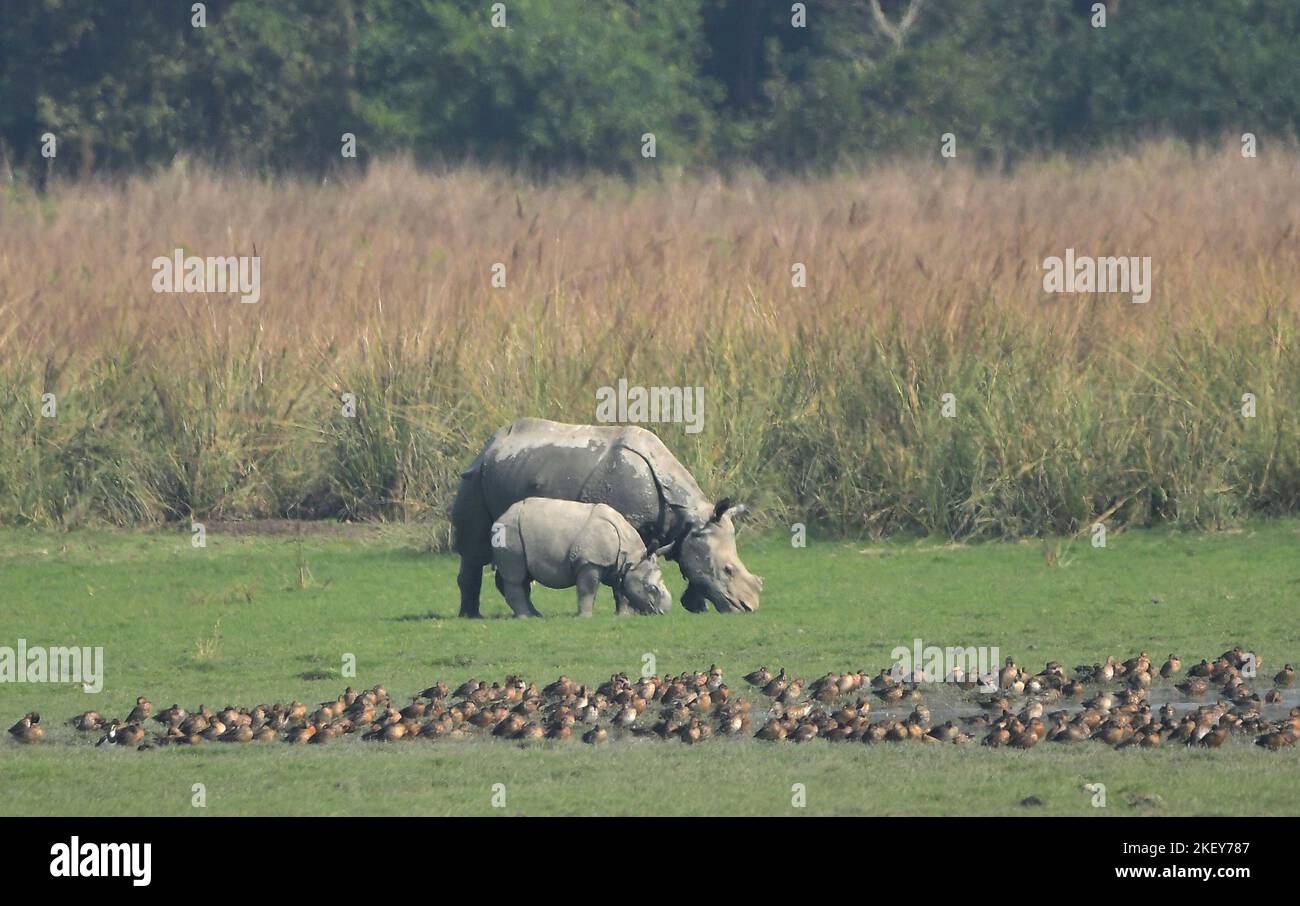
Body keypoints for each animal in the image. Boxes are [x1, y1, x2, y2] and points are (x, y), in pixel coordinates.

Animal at [491, 498, 672, 617]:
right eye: (651, 588)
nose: (664, 612)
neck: (633, 557)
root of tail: (502, 516)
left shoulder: (619, 567)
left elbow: (621, 592)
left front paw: (622, 615)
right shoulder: (590, 562)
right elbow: (587, 589)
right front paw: (585, 617)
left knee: (524, 577)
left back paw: (536, 615)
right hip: (510, 530)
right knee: (515, 577)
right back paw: (526, 617)